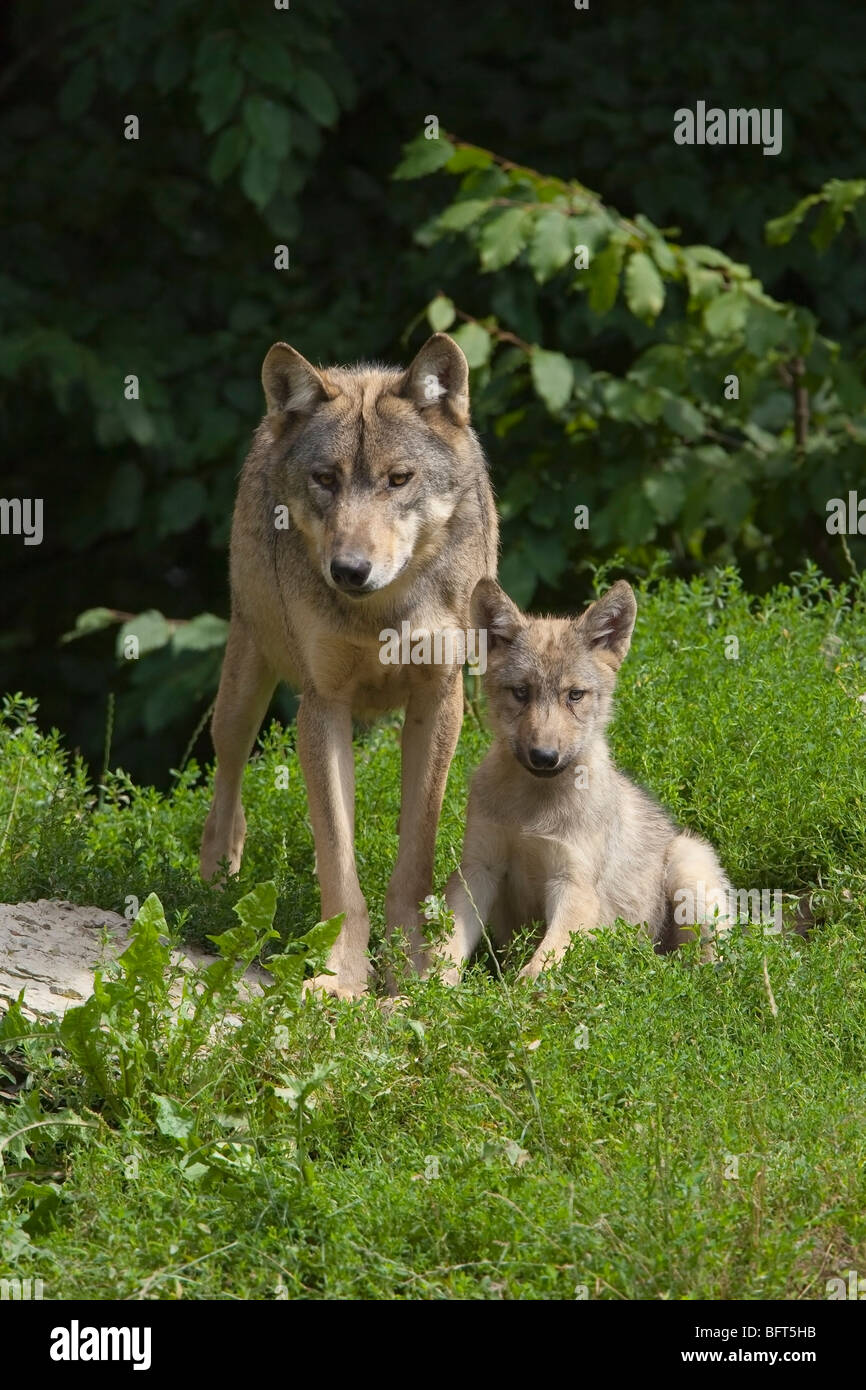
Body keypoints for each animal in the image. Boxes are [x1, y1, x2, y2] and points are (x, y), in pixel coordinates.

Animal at [200, 334, 498, 997]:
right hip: (243, 690)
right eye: (325, 479)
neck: (381, 613)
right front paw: (343, 976)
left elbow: (415, 853)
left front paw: (411, 968)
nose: (350, 571)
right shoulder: (323, 706)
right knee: (227, 771)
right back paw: (216, 874)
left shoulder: (439, 699)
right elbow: (338, 863)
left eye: (399, 479)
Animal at [434, 578, 731, 981]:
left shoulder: (573, 885)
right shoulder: (479, 870)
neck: (533, 807)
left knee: (706, 967)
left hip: (688, 870)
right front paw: (414, 994)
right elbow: (445, 953)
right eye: (521, 692)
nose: (544, 757)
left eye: (574, 695)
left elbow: (540, 966)